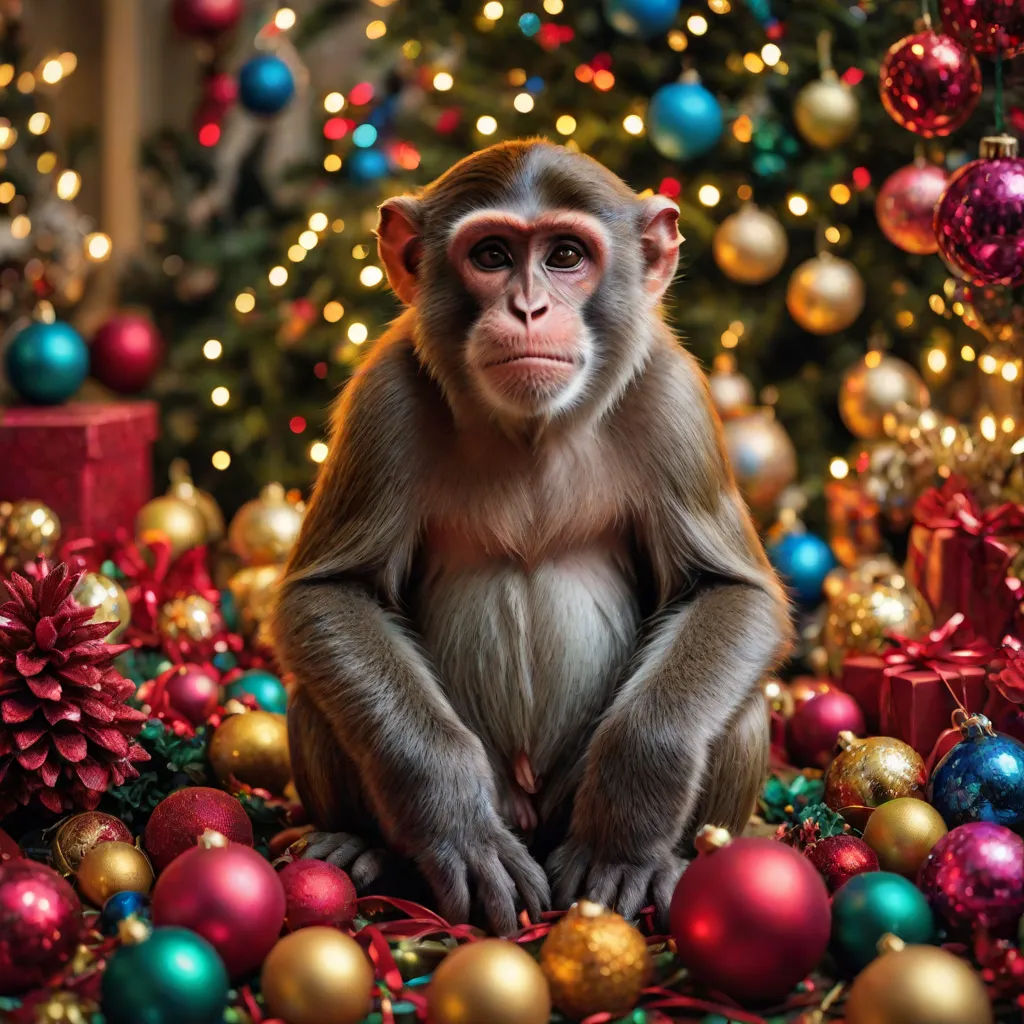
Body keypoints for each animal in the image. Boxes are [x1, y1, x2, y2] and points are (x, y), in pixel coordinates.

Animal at [272, 139, 791, 936]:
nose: (528, 307)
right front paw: (455, 820)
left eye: (566, 255)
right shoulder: (383, 397)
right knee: (316, 691)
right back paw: (364, 846)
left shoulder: (672, 395)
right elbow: (333, 592)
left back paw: (673, 860)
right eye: (491, 254)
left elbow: (728, 591)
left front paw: (627, 824)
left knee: (740, 708)